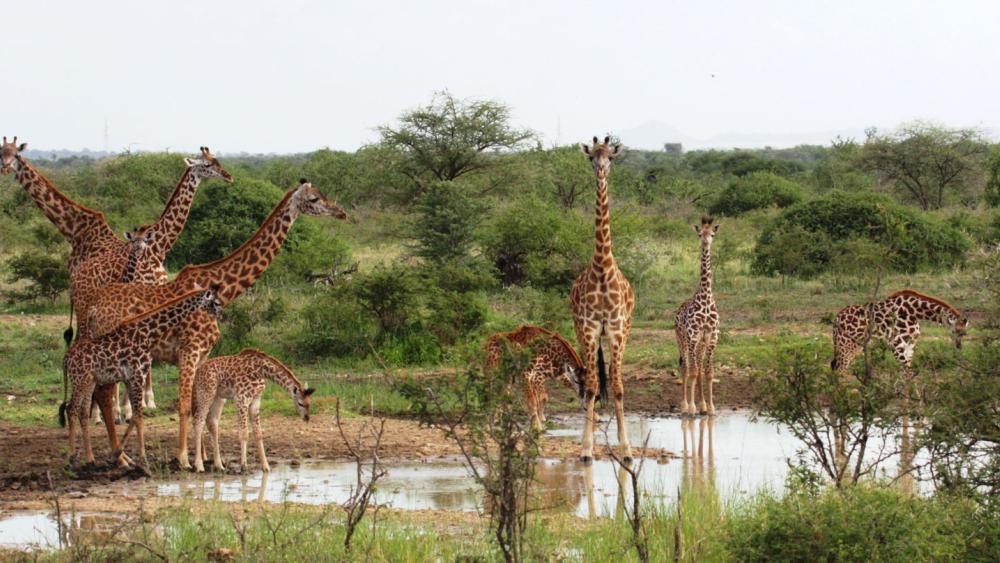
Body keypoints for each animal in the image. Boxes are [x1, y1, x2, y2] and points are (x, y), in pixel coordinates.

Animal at [59, 287, 224, 467]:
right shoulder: (138, 375)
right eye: (216, 302)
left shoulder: (131, 378)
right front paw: (143, 459)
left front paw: (118, 454)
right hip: (80, 380)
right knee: (72, 408)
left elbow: (135, 416)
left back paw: (90, 458)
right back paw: (71, 456)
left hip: (88, 382)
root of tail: (65, 359)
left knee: (82, 411)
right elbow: (139, 417)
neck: (147, 333)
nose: (223, 315)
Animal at [84, 180, 347, 468]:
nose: (341, 213)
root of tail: (92, 310)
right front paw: (184, 460)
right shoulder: (189, 351)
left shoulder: (203, 355)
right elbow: (186, 406)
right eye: (314, 199)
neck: (220, 287)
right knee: (103, 398)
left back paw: (119, 455)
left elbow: (201, 408)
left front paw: (206, 458)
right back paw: (119, 458)